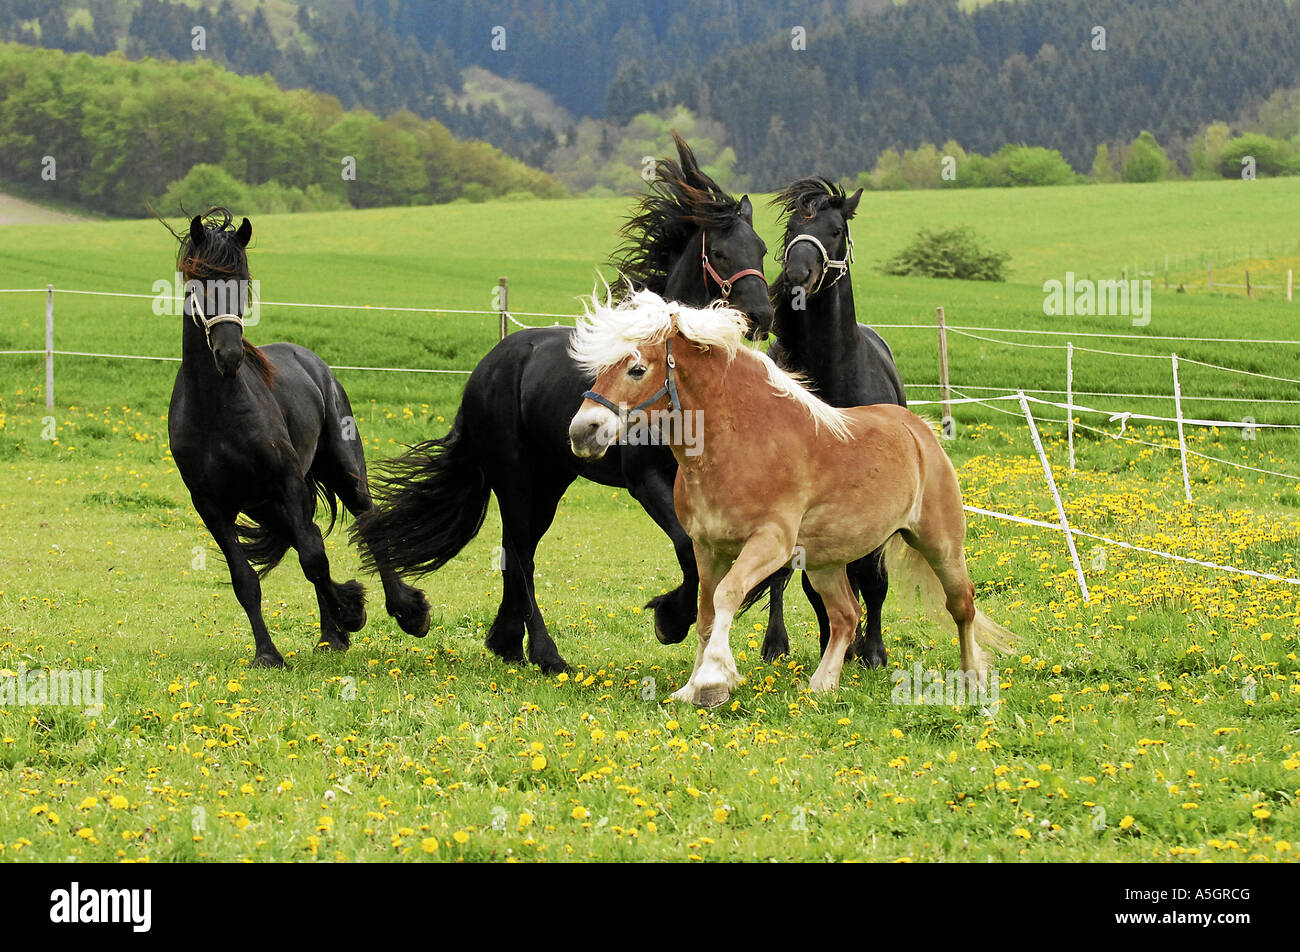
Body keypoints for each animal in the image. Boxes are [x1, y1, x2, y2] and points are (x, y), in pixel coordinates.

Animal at [164, 207, 429, 667]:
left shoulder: (286, 480)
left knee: (365, 523)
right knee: (310, 535)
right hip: (265, 505)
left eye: (242, 282)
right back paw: (329, 635)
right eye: (198, 282)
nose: (229, 355)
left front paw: (352, 613)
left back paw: (405, 612)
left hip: (341, 472)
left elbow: (314, 561)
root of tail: (313, 363)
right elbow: (245, 580)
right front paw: (269, 654)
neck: (216, 410)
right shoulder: (211, 505)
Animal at [353, 134, 774, 674]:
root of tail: (488, 367)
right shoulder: (644, 478)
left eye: (761, 248)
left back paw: (508, 644)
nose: (762, 315)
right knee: (520, 552)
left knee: (519, 549)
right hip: (514, 475)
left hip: (550, 478)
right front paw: (669, 620)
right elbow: (684, 546)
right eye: (719, 252)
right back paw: (545, 653)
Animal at [567, 291, 1013, 708]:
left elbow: (727, 595)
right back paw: (822, 685)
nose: (582, 431)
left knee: (962, 606)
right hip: (824, 562)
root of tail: (919, 431)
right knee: (845, 615)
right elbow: (707, 612)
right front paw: (691, 688)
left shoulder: (769, 543)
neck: (741, 442)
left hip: (941, 545)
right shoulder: (708, 548)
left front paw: (712, 682)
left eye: (637, 369)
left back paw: (972, 680)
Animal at [759, 177, 908, 668]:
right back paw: (776, 644)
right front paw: (833, 646)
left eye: (837, 229)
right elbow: (812, 588)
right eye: (791, 228)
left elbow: (874, 580)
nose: (796, 276)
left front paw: (872, 650)